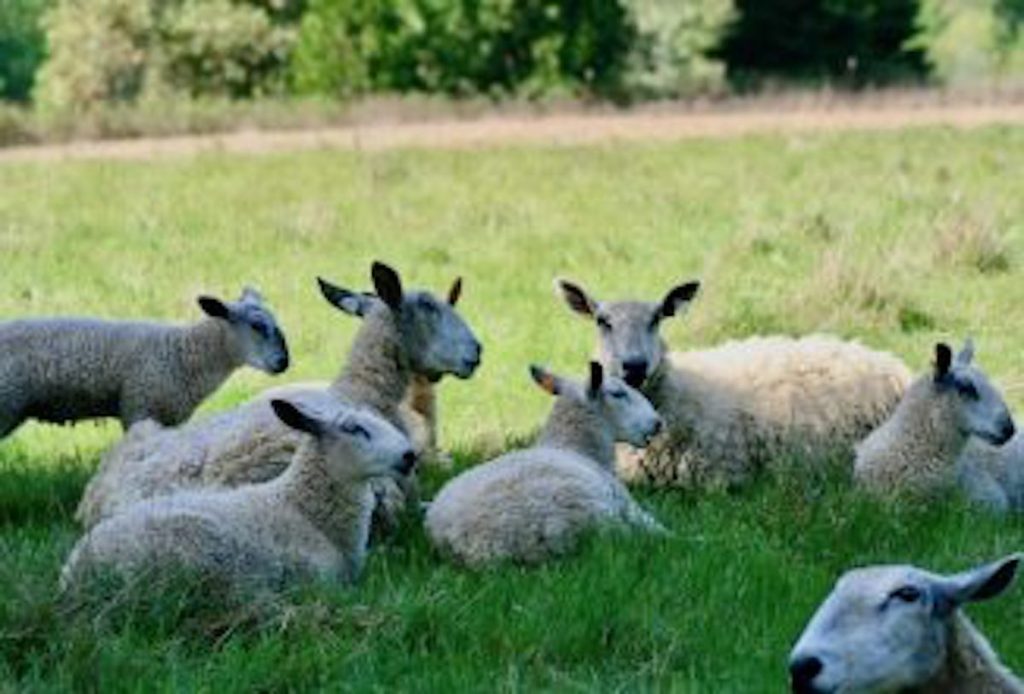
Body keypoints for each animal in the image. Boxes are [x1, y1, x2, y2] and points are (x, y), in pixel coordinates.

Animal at [425, 362, 666, 568]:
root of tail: (463, 544)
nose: (657, 423)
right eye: (618, 393)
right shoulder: (628, 507)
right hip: (598, 520)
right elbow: (661, 529)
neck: (573, 447)